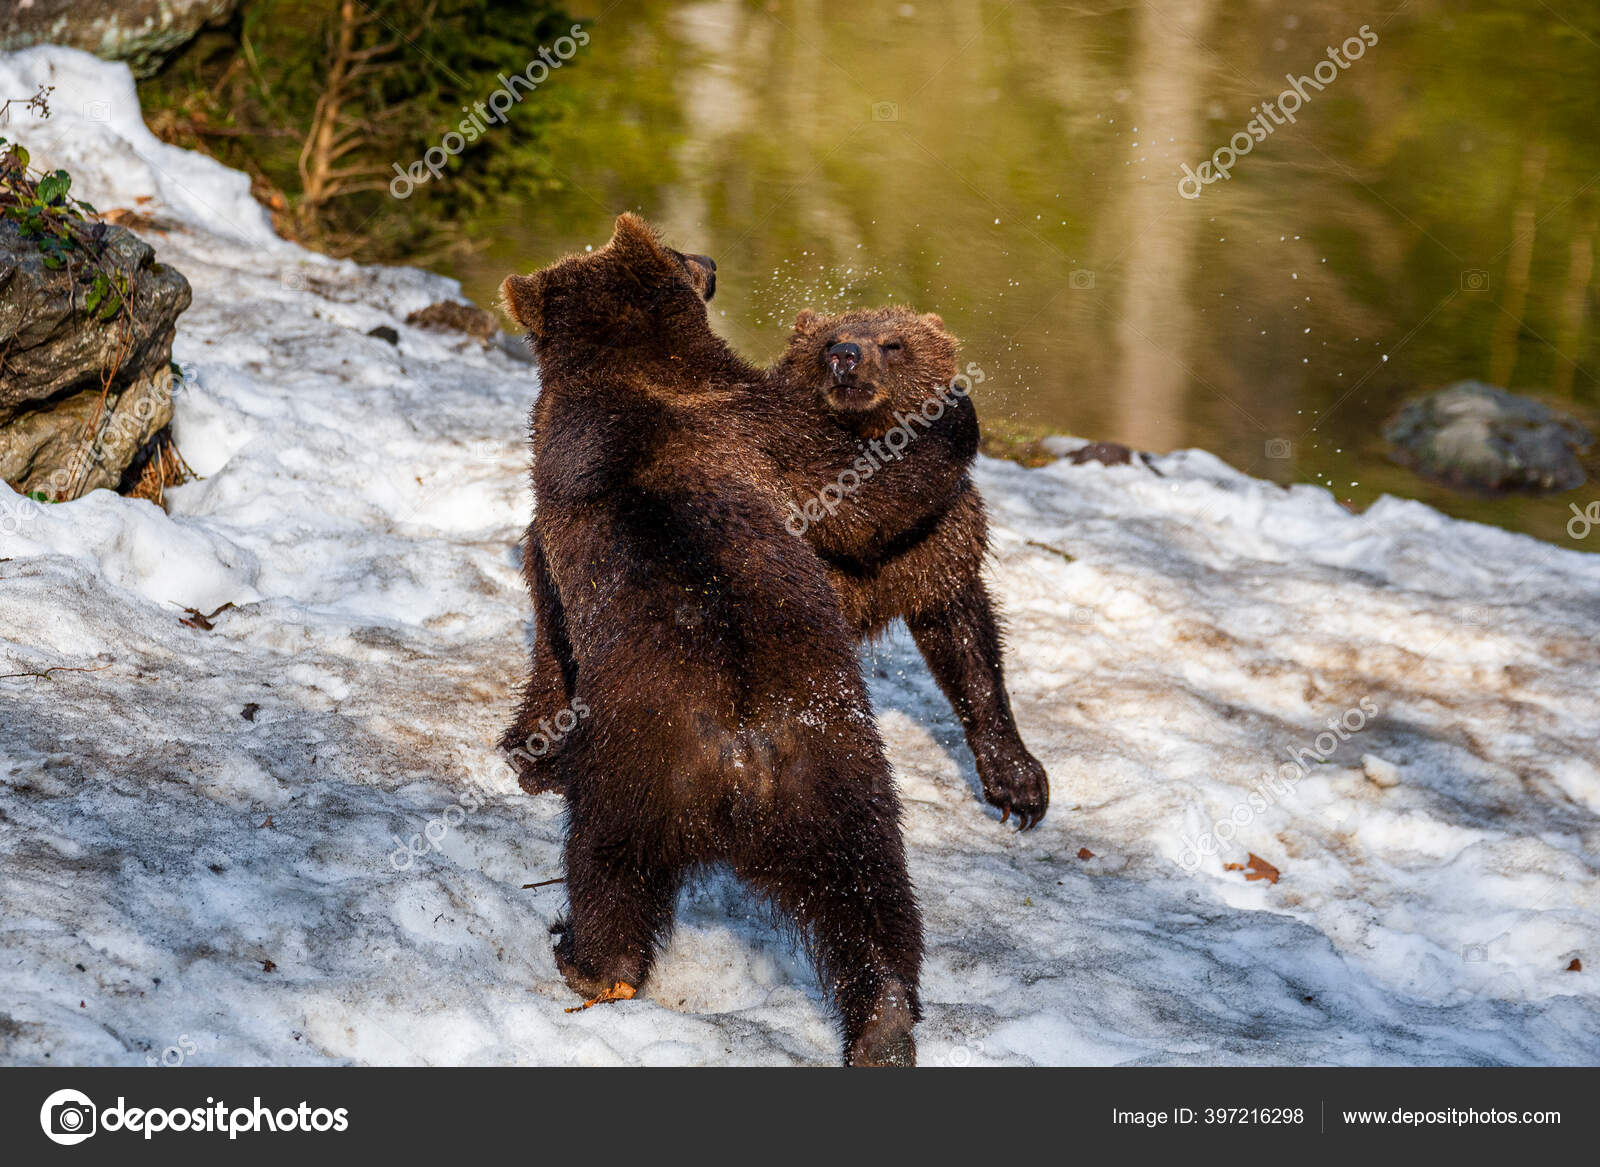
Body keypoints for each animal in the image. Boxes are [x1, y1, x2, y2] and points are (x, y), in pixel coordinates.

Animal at [500, 214, 923, 1066]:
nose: (711, 257)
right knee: (872, 896)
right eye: (679, 250)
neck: (644, 371)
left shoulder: (555, 516)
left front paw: (528, 746)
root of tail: (744, 752)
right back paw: (885, 1022)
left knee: (608, 868)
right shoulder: (777, 435)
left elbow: (549, 629)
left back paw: (585, 957)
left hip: (633, 766)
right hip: (843, 772)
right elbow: (862, 493)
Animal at [504, 303, 1050, 828]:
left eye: (894, 343)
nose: (847, 356)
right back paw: (545, 756)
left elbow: (965, 641)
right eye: (829, 341)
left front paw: (1018, 783)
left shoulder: (933, 549)